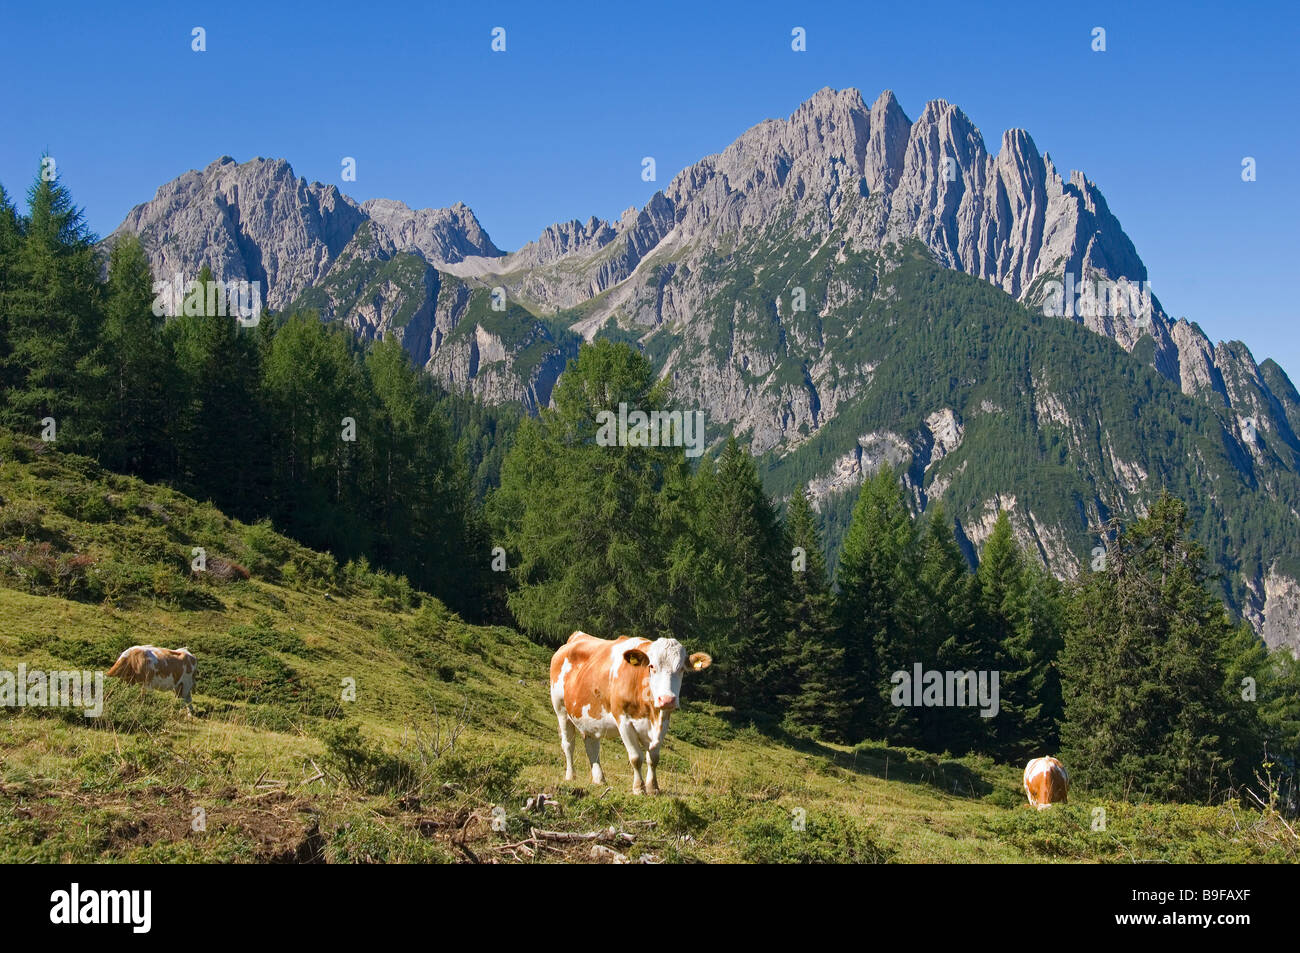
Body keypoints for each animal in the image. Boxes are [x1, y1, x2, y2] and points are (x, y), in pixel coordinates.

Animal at [550, 631, 712, 795]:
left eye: (681, 669)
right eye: (651, 666)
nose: (667, 699)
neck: (652, 714)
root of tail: (578, 635)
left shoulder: (663, 722)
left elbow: (653, 758)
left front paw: (653, 787)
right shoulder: (623, 720)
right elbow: (636, 757)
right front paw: (639, 788)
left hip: (588, 717)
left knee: (592, 745)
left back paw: (599, 779)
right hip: (561, 710)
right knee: (568, 744)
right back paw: (571, 776)